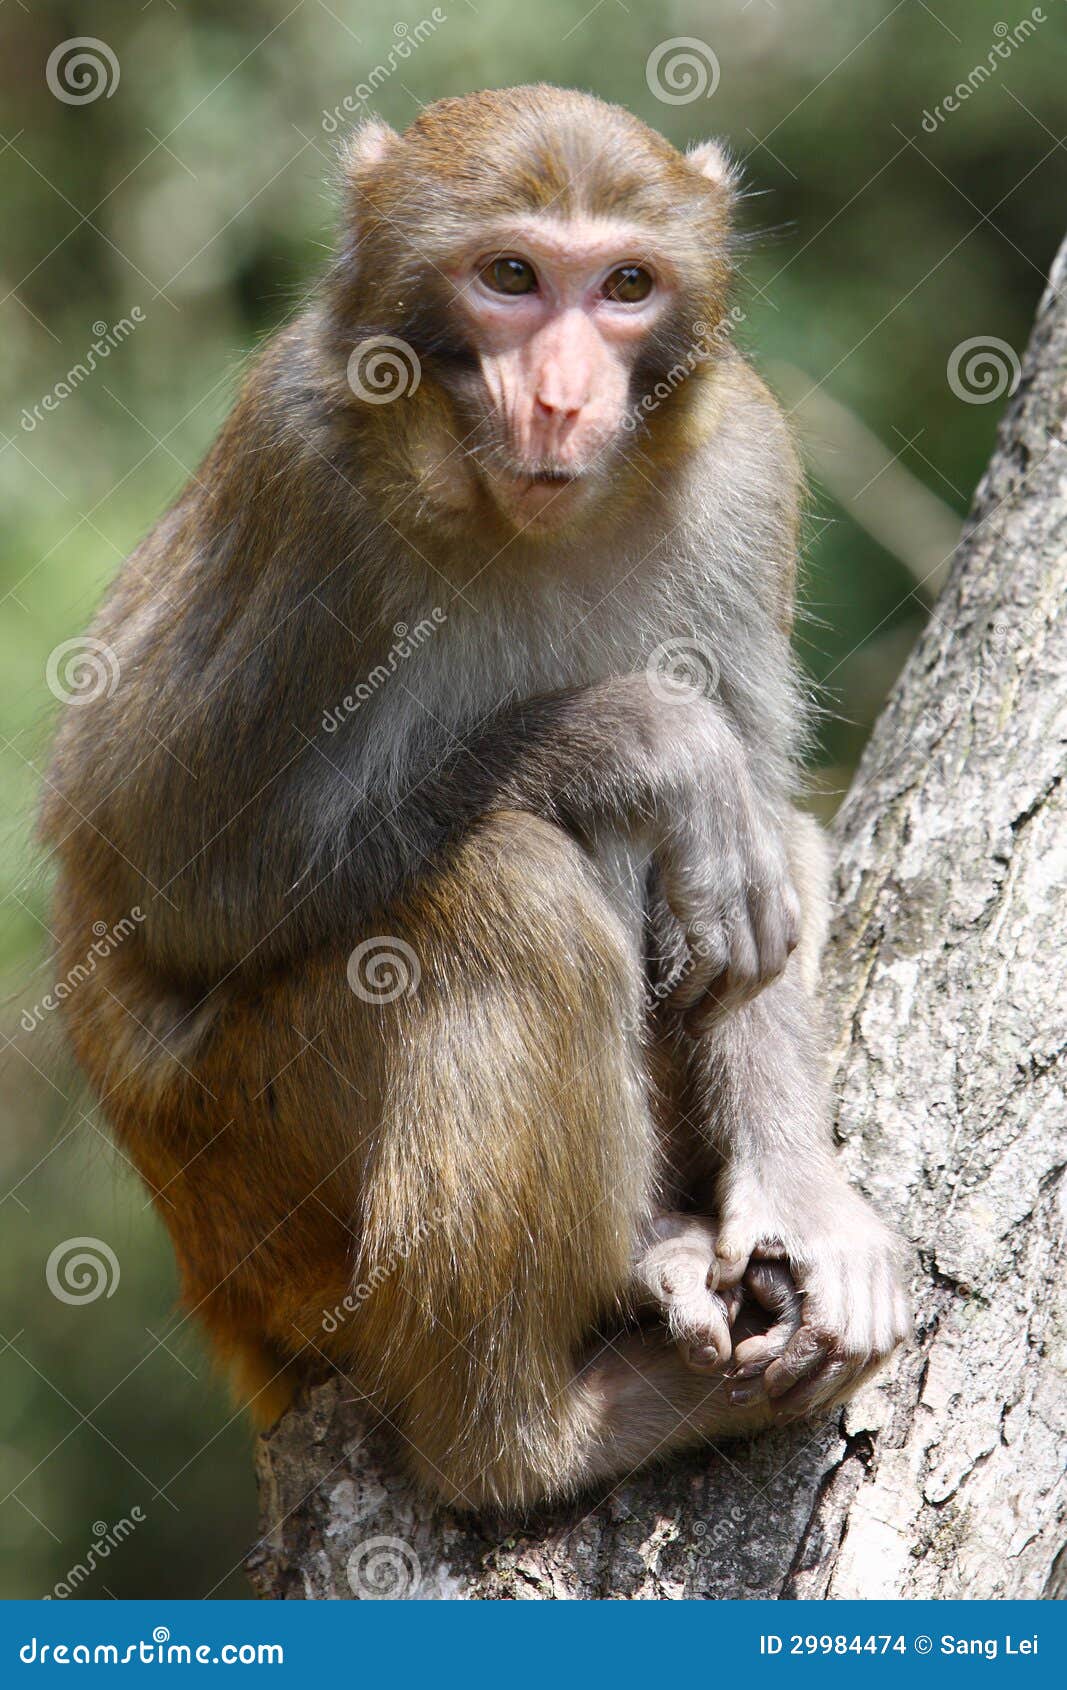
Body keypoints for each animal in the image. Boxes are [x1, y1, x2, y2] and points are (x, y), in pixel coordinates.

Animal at [41, 85, 910, 1511]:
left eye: (624, 286)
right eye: (509, 277)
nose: (558, 397)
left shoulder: (746, 461)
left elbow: (763, 859)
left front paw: (799, 1196)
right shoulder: (301, 476)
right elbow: (170, 877)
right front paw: (645, 733)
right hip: (253, 1171)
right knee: (510, 900)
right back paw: (519, 1431)